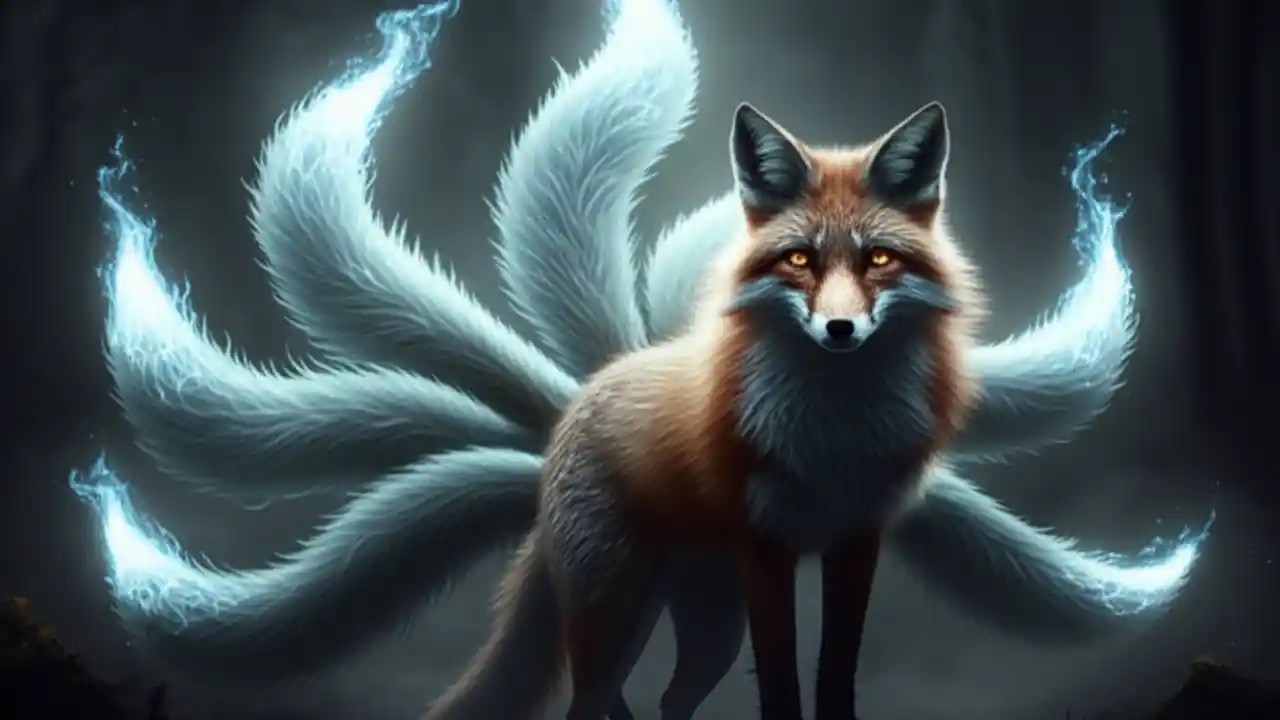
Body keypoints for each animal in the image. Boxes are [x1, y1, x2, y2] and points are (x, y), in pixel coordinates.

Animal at [71, 1, 1203, 719]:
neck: (830, 432)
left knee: (652, 700)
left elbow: (835, 677)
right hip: (623, 602)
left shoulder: (855, 542)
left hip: (695, 622)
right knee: (590, 699)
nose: (839, 332)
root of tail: (568, 407)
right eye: (799, 261)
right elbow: (783, 688)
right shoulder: (765, 553)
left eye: (878, 261)